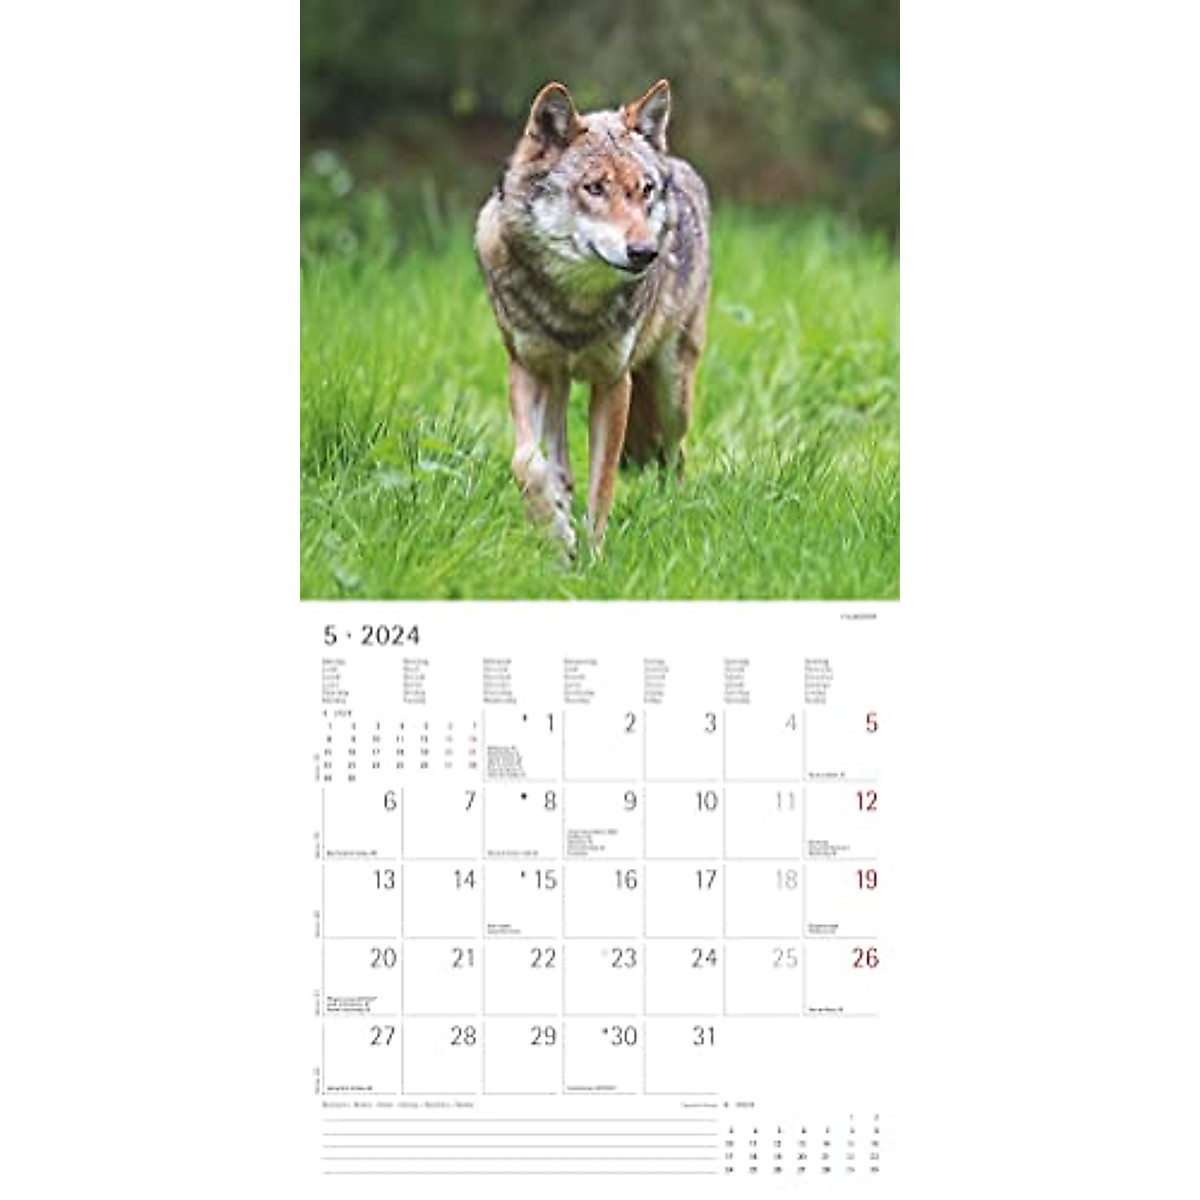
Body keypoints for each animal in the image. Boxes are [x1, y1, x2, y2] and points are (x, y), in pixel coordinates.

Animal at [475, 79, 710, 555]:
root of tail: (677, 164)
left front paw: (593, 556)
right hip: (559, 380)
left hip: (671, 390)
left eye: (645, 190)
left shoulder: (613, 383)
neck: (574, 308)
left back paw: (673, 511)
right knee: (559, 459)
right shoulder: (526, 368)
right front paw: (556, 532)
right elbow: (526, 461)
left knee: (675, 454)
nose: (644, 252)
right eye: (595, 188)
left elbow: (601, 485)